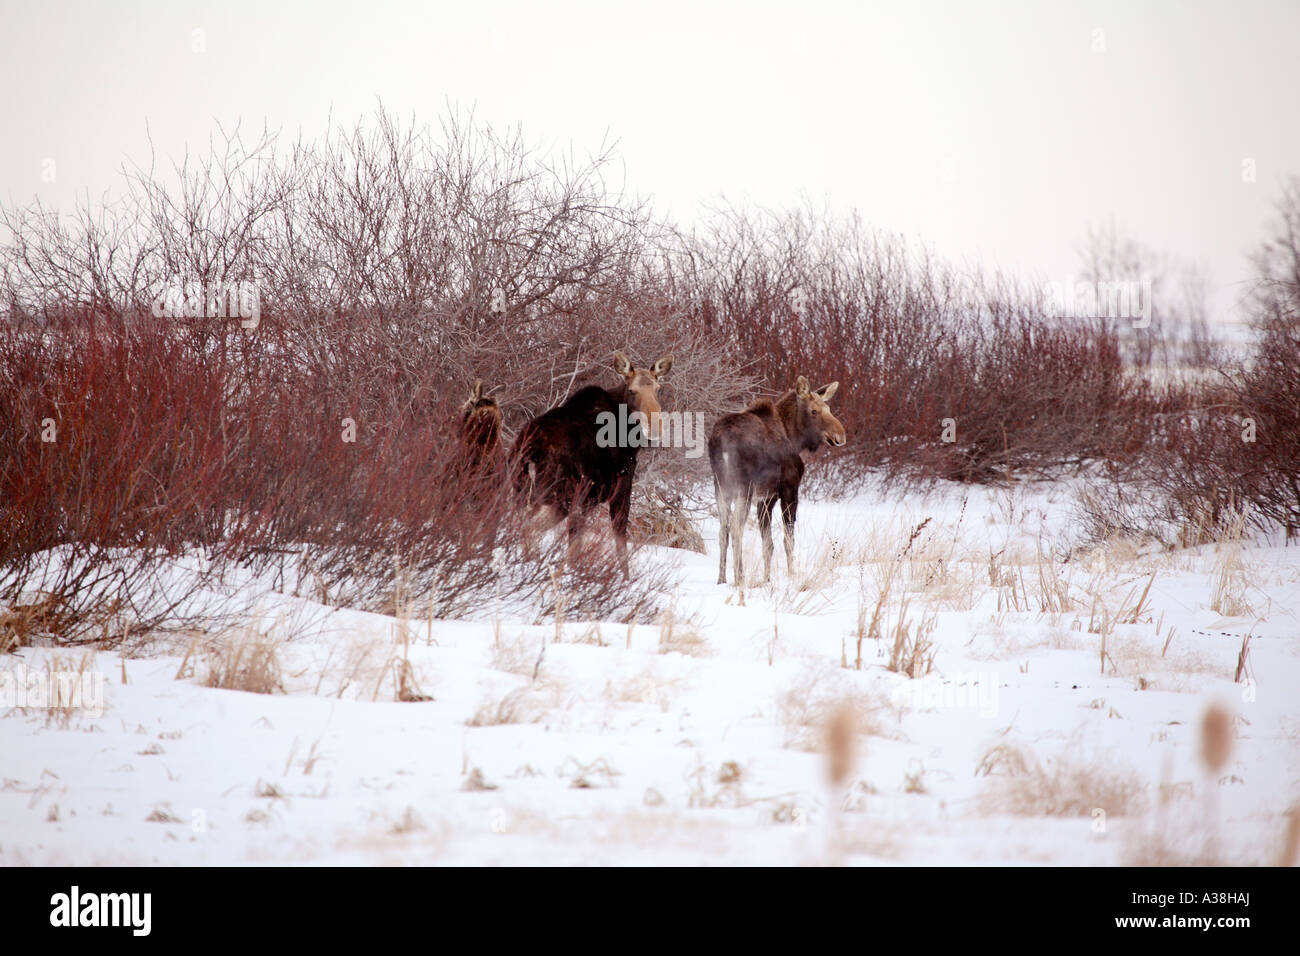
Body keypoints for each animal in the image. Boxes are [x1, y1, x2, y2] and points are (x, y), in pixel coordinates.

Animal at [511, 351, 673, 578]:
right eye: (633, 391)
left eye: (658, 389)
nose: (655, 427)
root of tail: (530, 452)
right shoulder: (620, 489)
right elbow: (619, 545)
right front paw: (625, 581)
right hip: (560, 497)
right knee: (530, 530)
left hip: (524, 494)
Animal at [708, 376, 845, 586]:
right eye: (814, 411)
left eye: (828, 408)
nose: (840, 435)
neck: (794, 436)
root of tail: (720, 442)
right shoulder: (789, 488)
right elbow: (788, 541)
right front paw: (792, 575)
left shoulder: (766, 498)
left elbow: (768, 544)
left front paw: (767, 579)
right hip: (743, 488)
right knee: (737, 529)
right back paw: (739, 578)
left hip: (721, 487)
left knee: (723, 530)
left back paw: (721, 579)